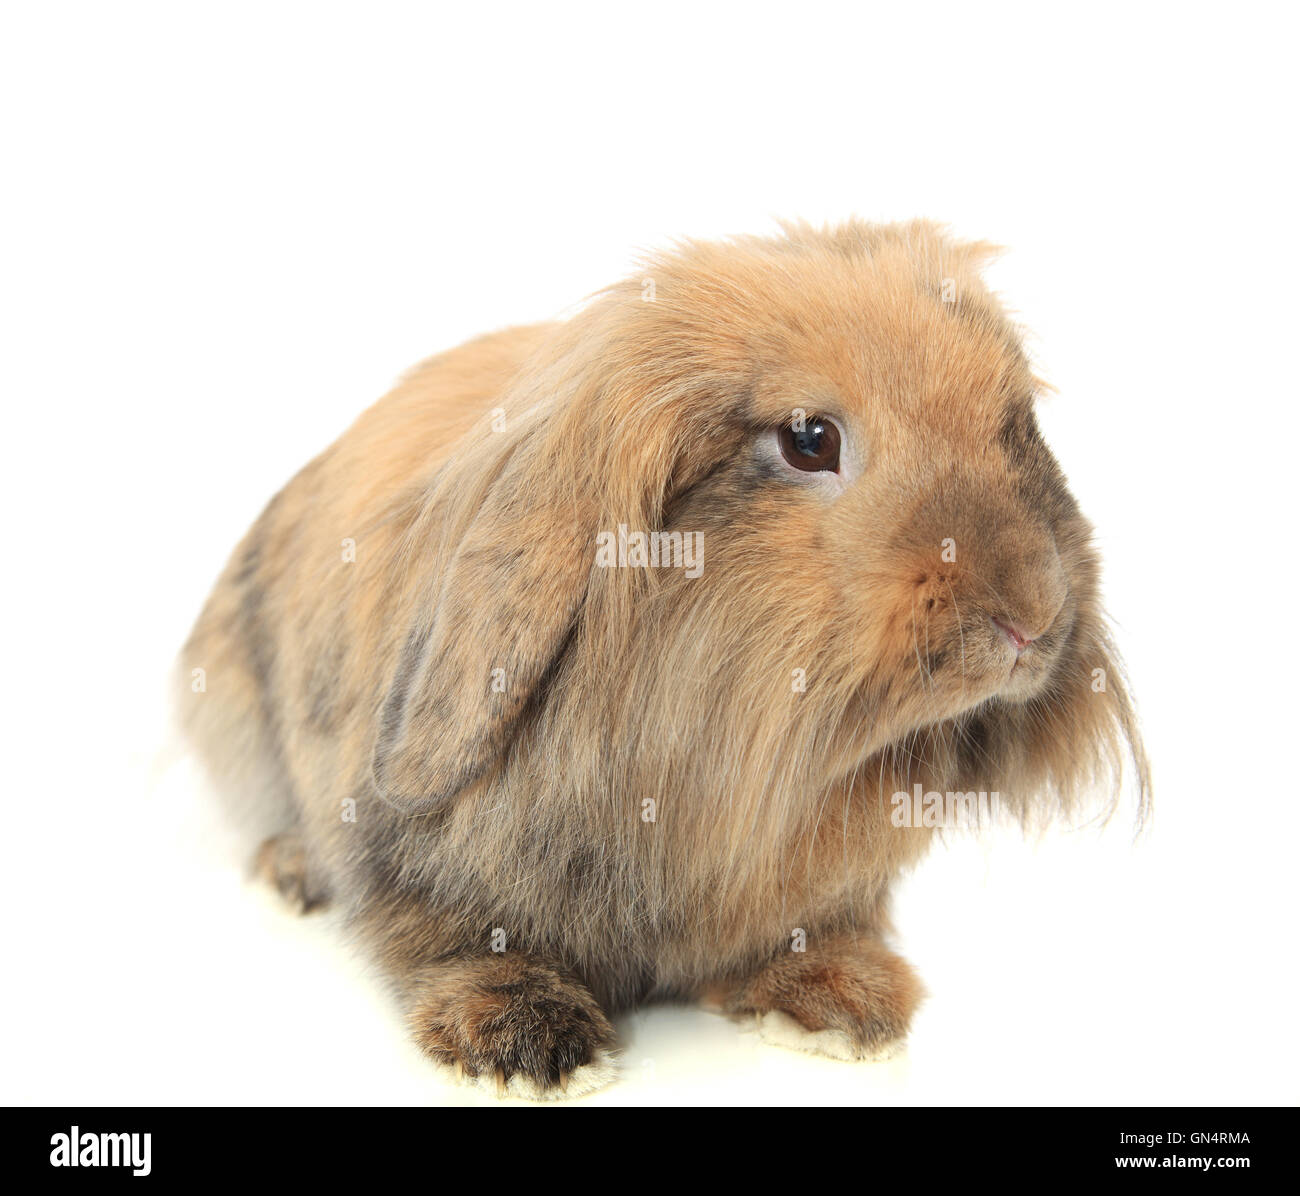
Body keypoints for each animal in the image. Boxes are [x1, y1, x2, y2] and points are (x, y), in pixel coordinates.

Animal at [180, 219, 1148, 1099]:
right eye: (810, 439)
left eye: (1016, 421)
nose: (1032, 615)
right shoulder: (416, 868)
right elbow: (444, 939)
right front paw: (532, 1049)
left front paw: (843, 1006)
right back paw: (292, 876)